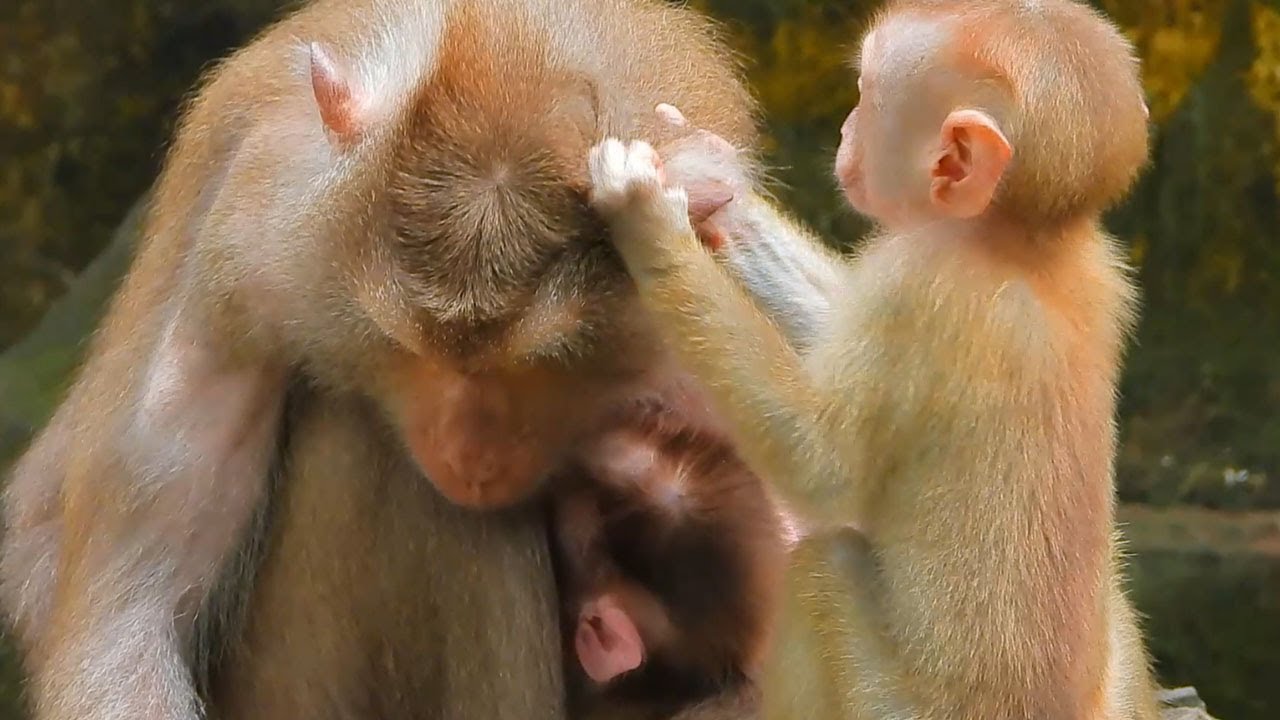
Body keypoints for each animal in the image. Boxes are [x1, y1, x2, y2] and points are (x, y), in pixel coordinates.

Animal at [585, 1, 1163, 718]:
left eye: (865, 94)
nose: (845, 129)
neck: (1025, 244)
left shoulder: (920, 287)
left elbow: (820, 464)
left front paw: (647, 224)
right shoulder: (1107, 269)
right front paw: (712, 179)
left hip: (893, 703)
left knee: (822, 572)